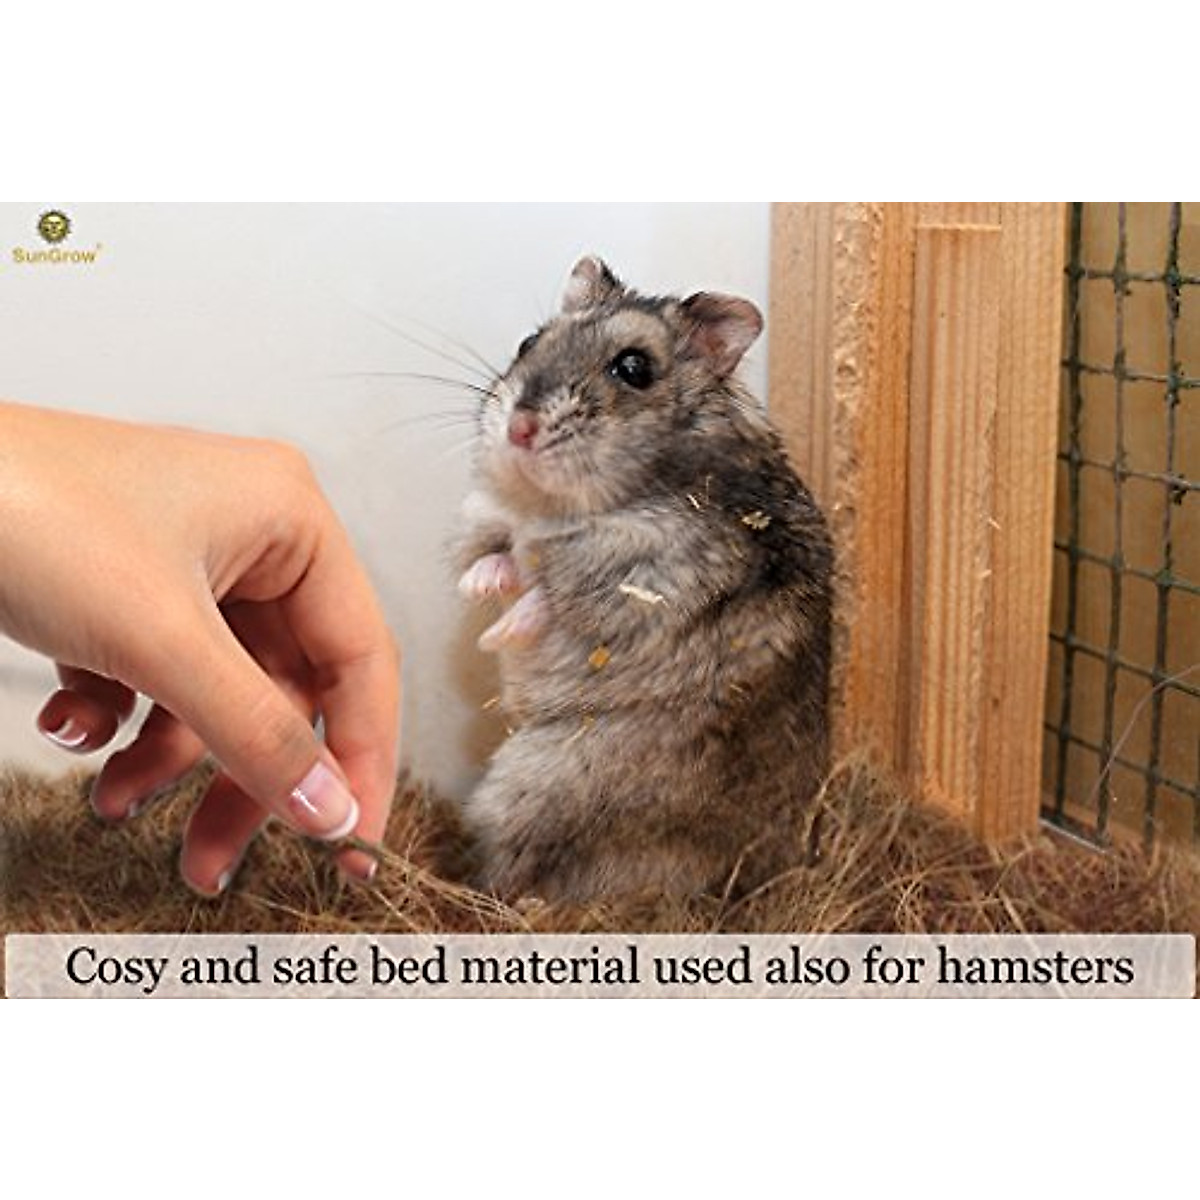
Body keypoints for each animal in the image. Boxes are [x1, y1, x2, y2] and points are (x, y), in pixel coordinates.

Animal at [455, 256, 832, 903]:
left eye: (633, 368)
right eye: (529, 342)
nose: (519, 429)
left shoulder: (649, 571)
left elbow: (550, 593)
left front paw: (494, 634)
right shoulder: (502, 523)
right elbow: (503, 553)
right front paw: (478, 589)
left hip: (532, 793)